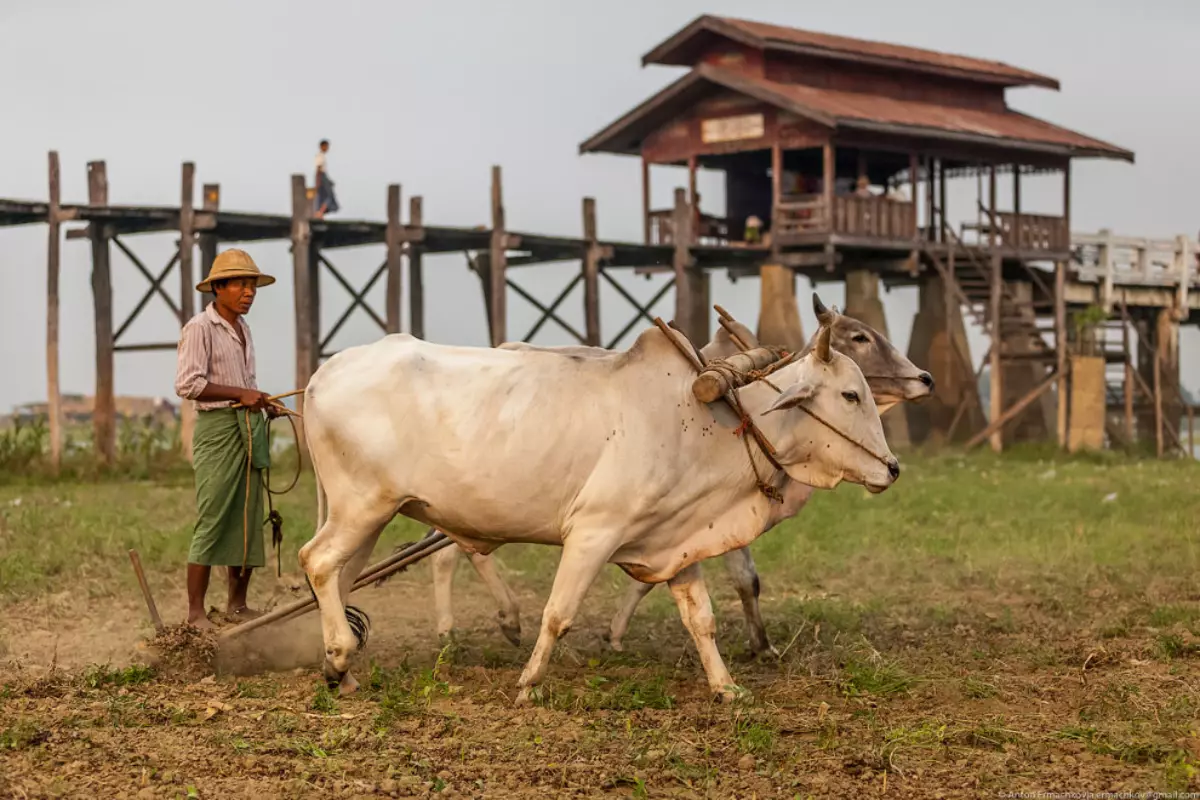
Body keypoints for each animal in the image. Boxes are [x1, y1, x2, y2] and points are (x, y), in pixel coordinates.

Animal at [297, 319, 902, 700]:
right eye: (850, 395)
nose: (893, 468)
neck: (709, 421)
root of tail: (325, 373)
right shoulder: (594, 531)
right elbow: (558, 613)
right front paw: (528, 684)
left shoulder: (677, 542)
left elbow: (701, 619)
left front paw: (726, 687)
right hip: (361, 507)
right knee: (319, 562)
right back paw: (339, 656)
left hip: (368, 517)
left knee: (339, 576)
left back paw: (339, 667)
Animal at [427, 298, 931, 657]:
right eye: (860, 336)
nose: (924, 378)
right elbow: (743, 579)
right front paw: (761, 645)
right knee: (452, 553)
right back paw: (476, 625)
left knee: (459, 548)